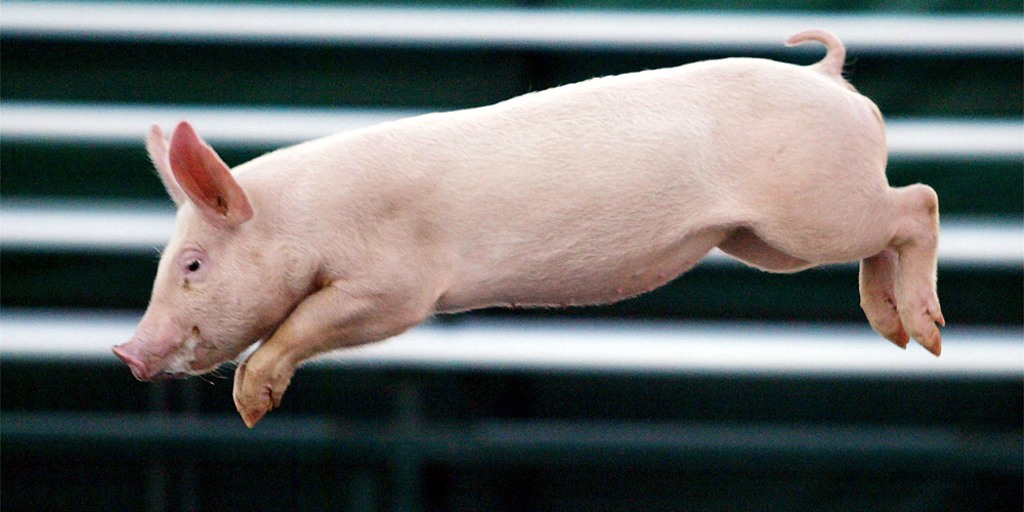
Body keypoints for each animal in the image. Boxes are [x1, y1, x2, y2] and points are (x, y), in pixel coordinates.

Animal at [113, 30, 943, 428]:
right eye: (163, 263)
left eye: (192, 265)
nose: (127, 351)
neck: (308, 218)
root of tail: (828, 80)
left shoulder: (398, 288)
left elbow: (306, 321)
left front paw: (250, 405)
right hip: (766, 241)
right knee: (891, 230)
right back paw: (896, 334)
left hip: (815, 210)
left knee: (921, 201)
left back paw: (928, 337)